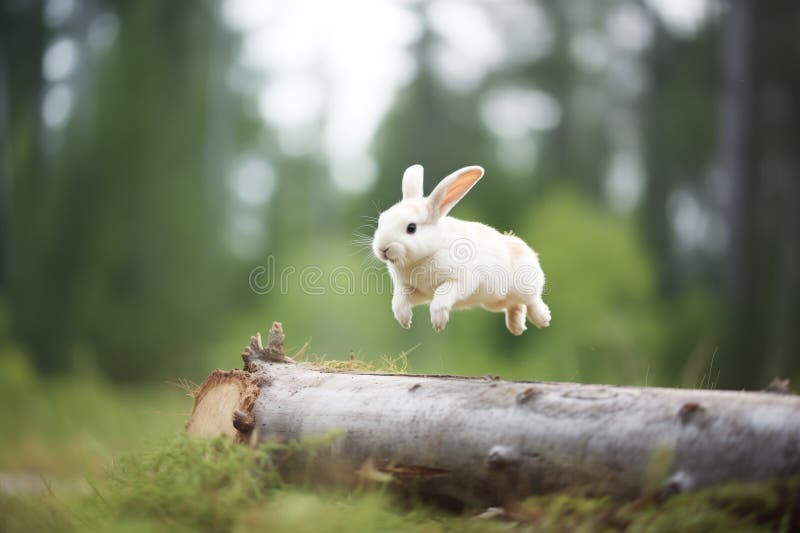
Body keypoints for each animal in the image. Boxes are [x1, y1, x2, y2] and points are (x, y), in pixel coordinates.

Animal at [372, 164, 551, 335]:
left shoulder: (460, 281)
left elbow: (442, 296)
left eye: (411, 228)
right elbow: (399, 301)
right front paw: (404, 321)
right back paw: (516, 328)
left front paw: (438, 323)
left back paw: (543, 319)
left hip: (524, 285)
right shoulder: (412, 289)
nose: (383, 248)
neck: (427, 254)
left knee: (532, 300)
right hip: (495, 302)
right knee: (515, 306)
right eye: (381, 221)